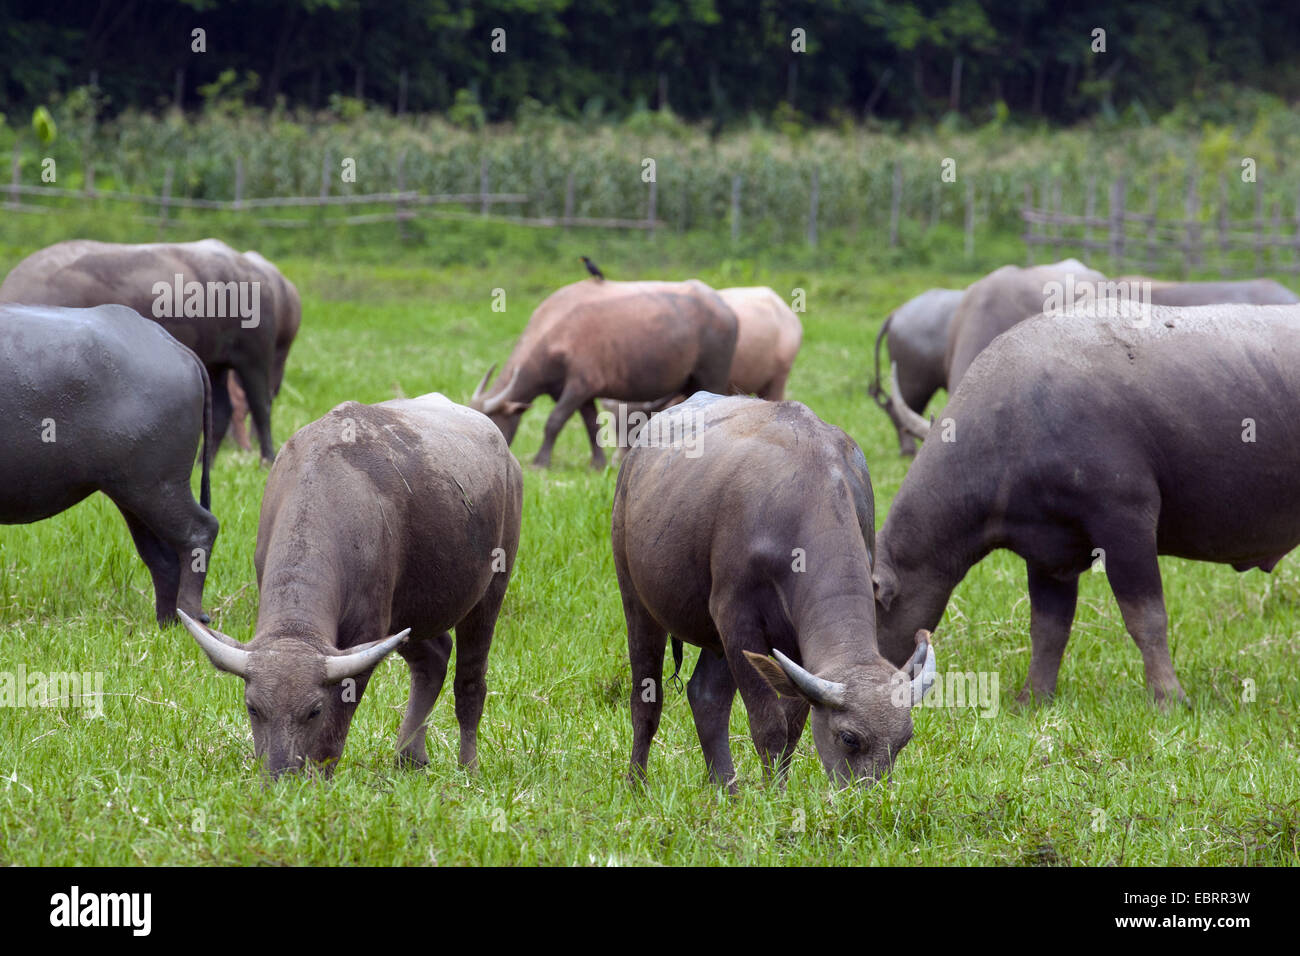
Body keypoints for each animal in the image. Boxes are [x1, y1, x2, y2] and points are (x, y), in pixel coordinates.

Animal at [0, 303, 217, 625]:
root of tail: (170, 344)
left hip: (158, 487)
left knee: (199, 532)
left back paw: (189, 616)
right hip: (133, 495)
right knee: (163, 559)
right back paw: (167, 623)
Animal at [181, 393, 521, 777]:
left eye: (314, 710)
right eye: (254, 708)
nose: (280, 775)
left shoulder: (366, 634)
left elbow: (337, 726)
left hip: (489, 593)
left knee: (470, 682)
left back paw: (468, 766)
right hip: (408, 614)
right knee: (433, 659)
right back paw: (409, 756)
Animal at [612, 392, 936, 791]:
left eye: (904, 739)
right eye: (849, 738)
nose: (870, 796)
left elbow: (793, 725)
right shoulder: (736, 618)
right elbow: (769, 724)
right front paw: (774, 794)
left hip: (716, 640)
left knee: (706, 697)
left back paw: (727, 789)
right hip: (637, 601)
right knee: (646, 701)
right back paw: (637, 784)